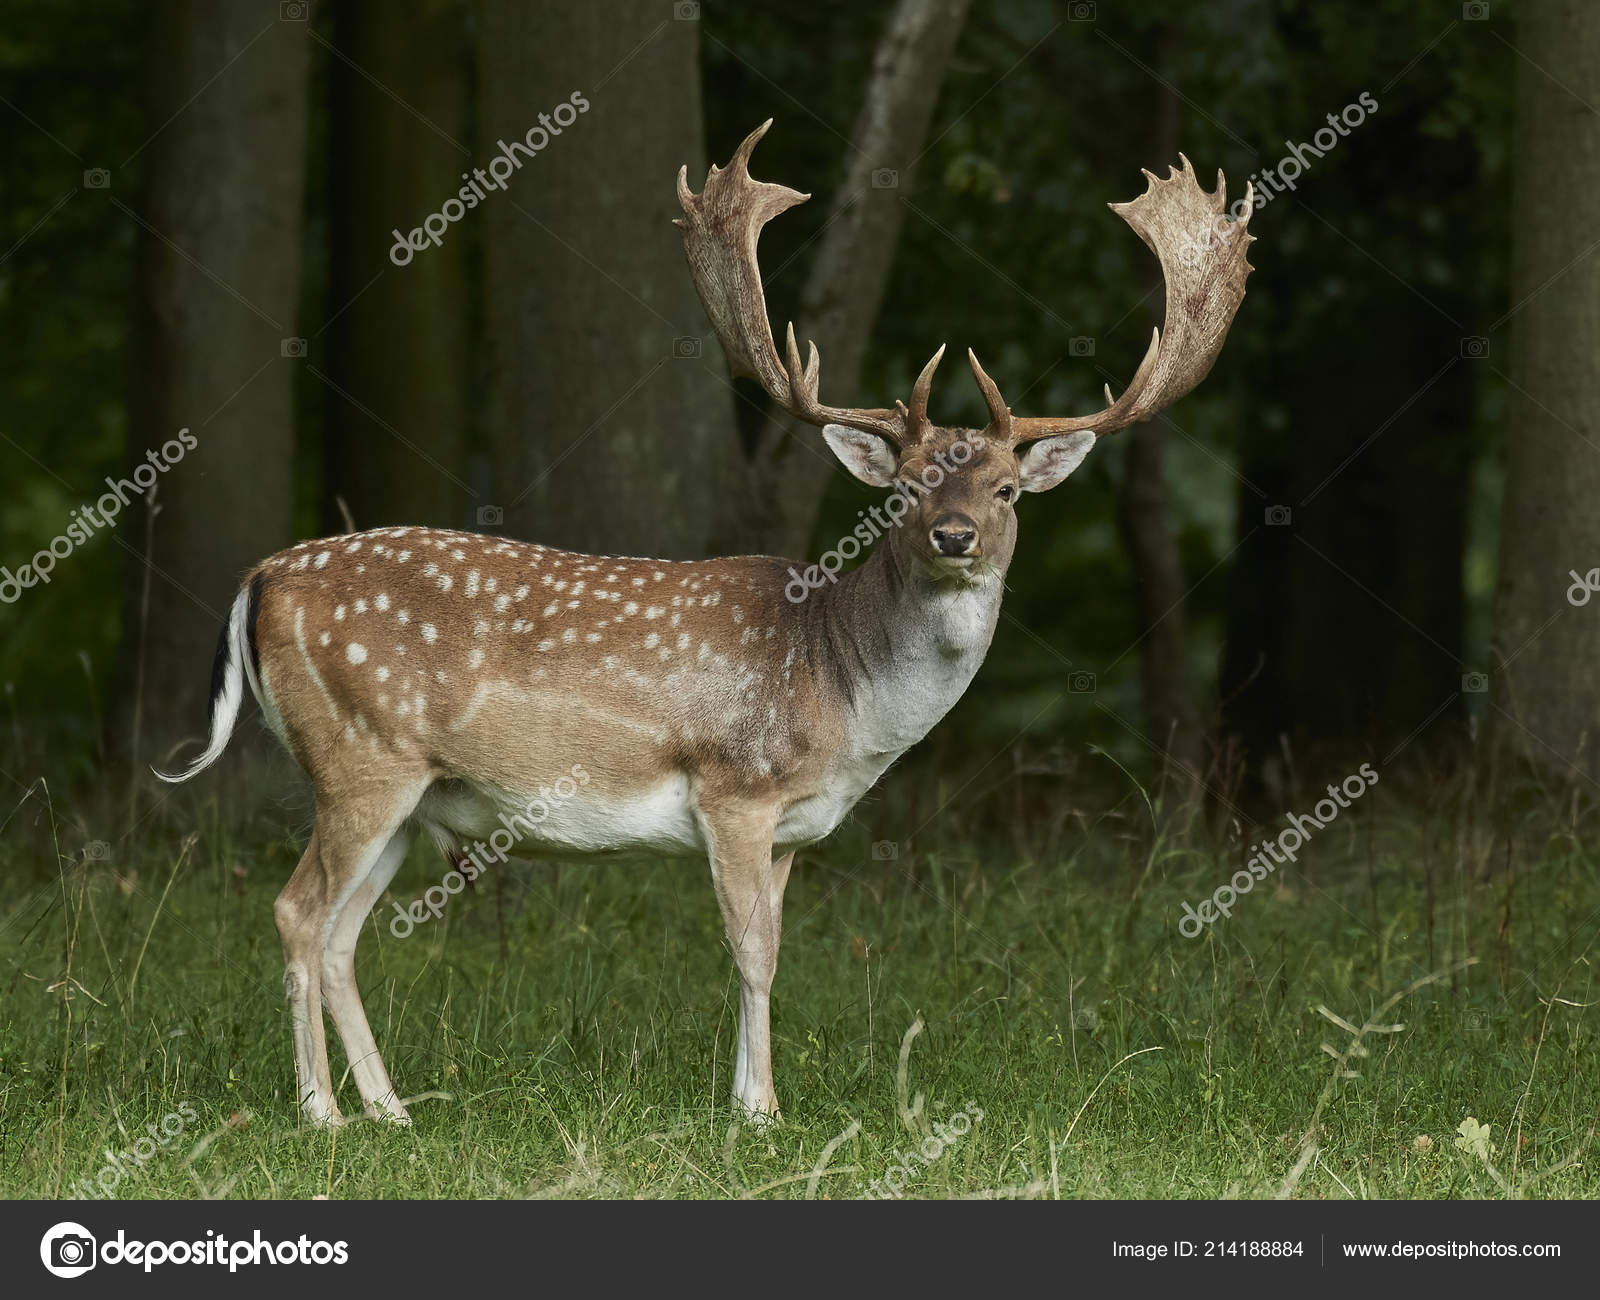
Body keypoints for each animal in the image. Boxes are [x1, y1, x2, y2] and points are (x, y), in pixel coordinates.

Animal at [157, 121, 1253, 1128]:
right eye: (901, 487)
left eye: (1009, 490)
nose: (954, 535)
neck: (846, 700)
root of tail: (260, 578)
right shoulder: (735, 785)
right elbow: (750, 948)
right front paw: (760, 1112)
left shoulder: (796, 825)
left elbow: (771, 941)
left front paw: (747, 1097)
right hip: (359, 753)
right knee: (298, 912)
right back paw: (323, 1114)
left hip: (408, 787)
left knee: (342, 931)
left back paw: (390, 1110)